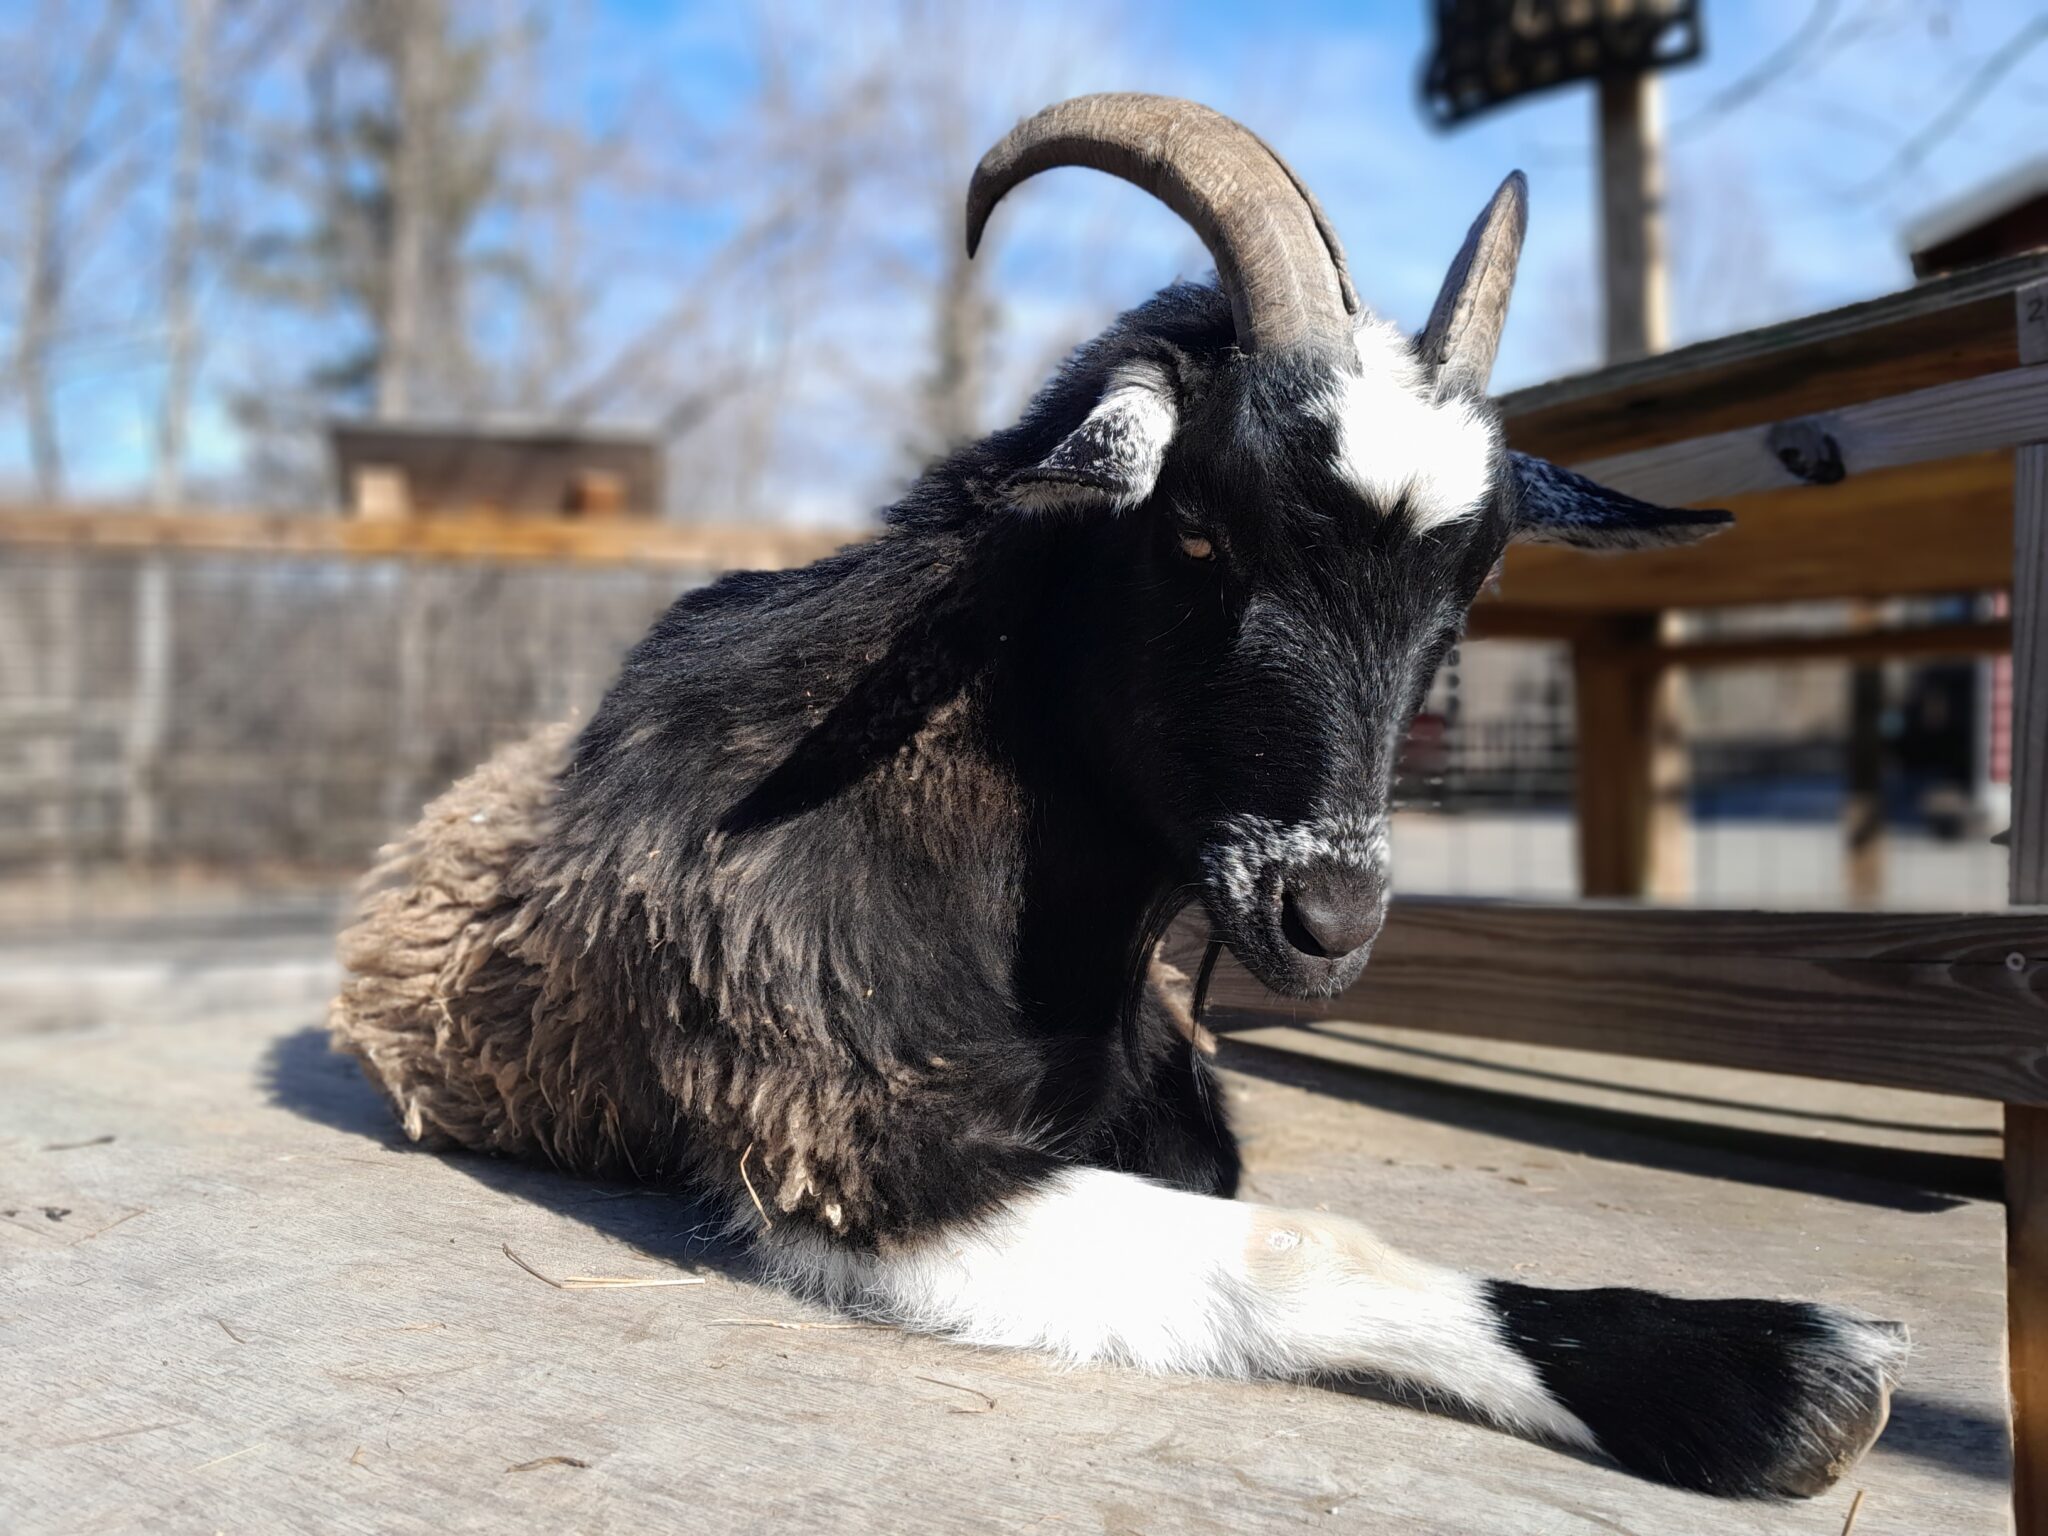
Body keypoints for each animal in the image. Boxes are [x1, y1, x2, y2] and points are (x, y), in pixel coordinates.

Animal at [332, 94, 1904, 1498]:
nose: (1330, 917)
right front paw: (1762, 1372)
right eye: (1198, 530)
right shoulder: (852, 1146)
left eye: (1472, 591)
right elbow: (1294, 1246)